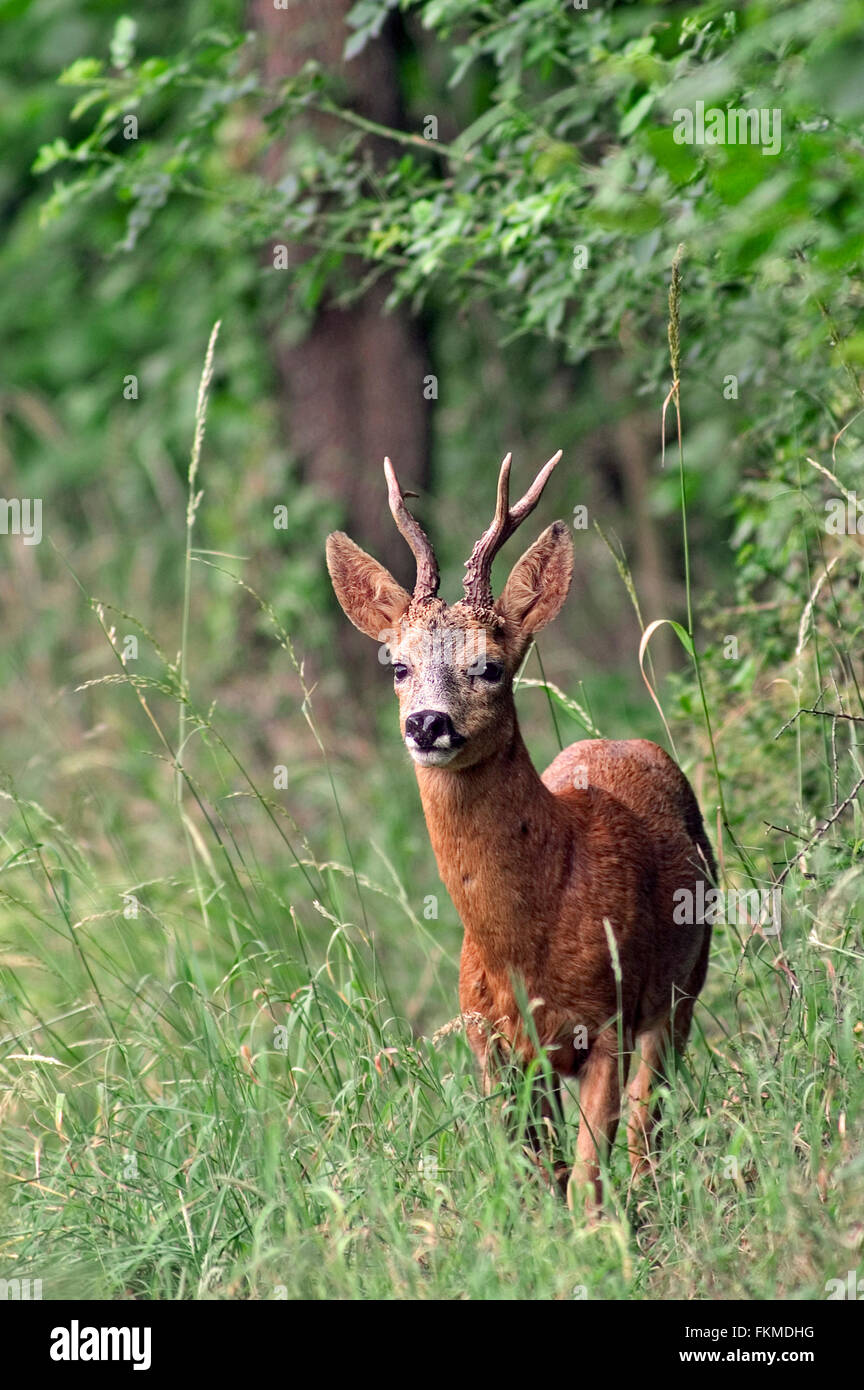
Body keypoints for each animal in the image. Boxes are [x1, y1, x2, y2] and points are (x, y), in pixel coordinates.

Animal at [325, 449, 715, 1211]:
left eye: (490, 666)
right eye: (399, 665)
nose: (426, 724)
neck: (524, 943)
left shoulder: (610, 1020)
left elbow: (588, 1176)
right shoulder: (492, 1044)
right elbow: (543, 1175)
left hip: (687, 980)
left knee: (648, 1125)